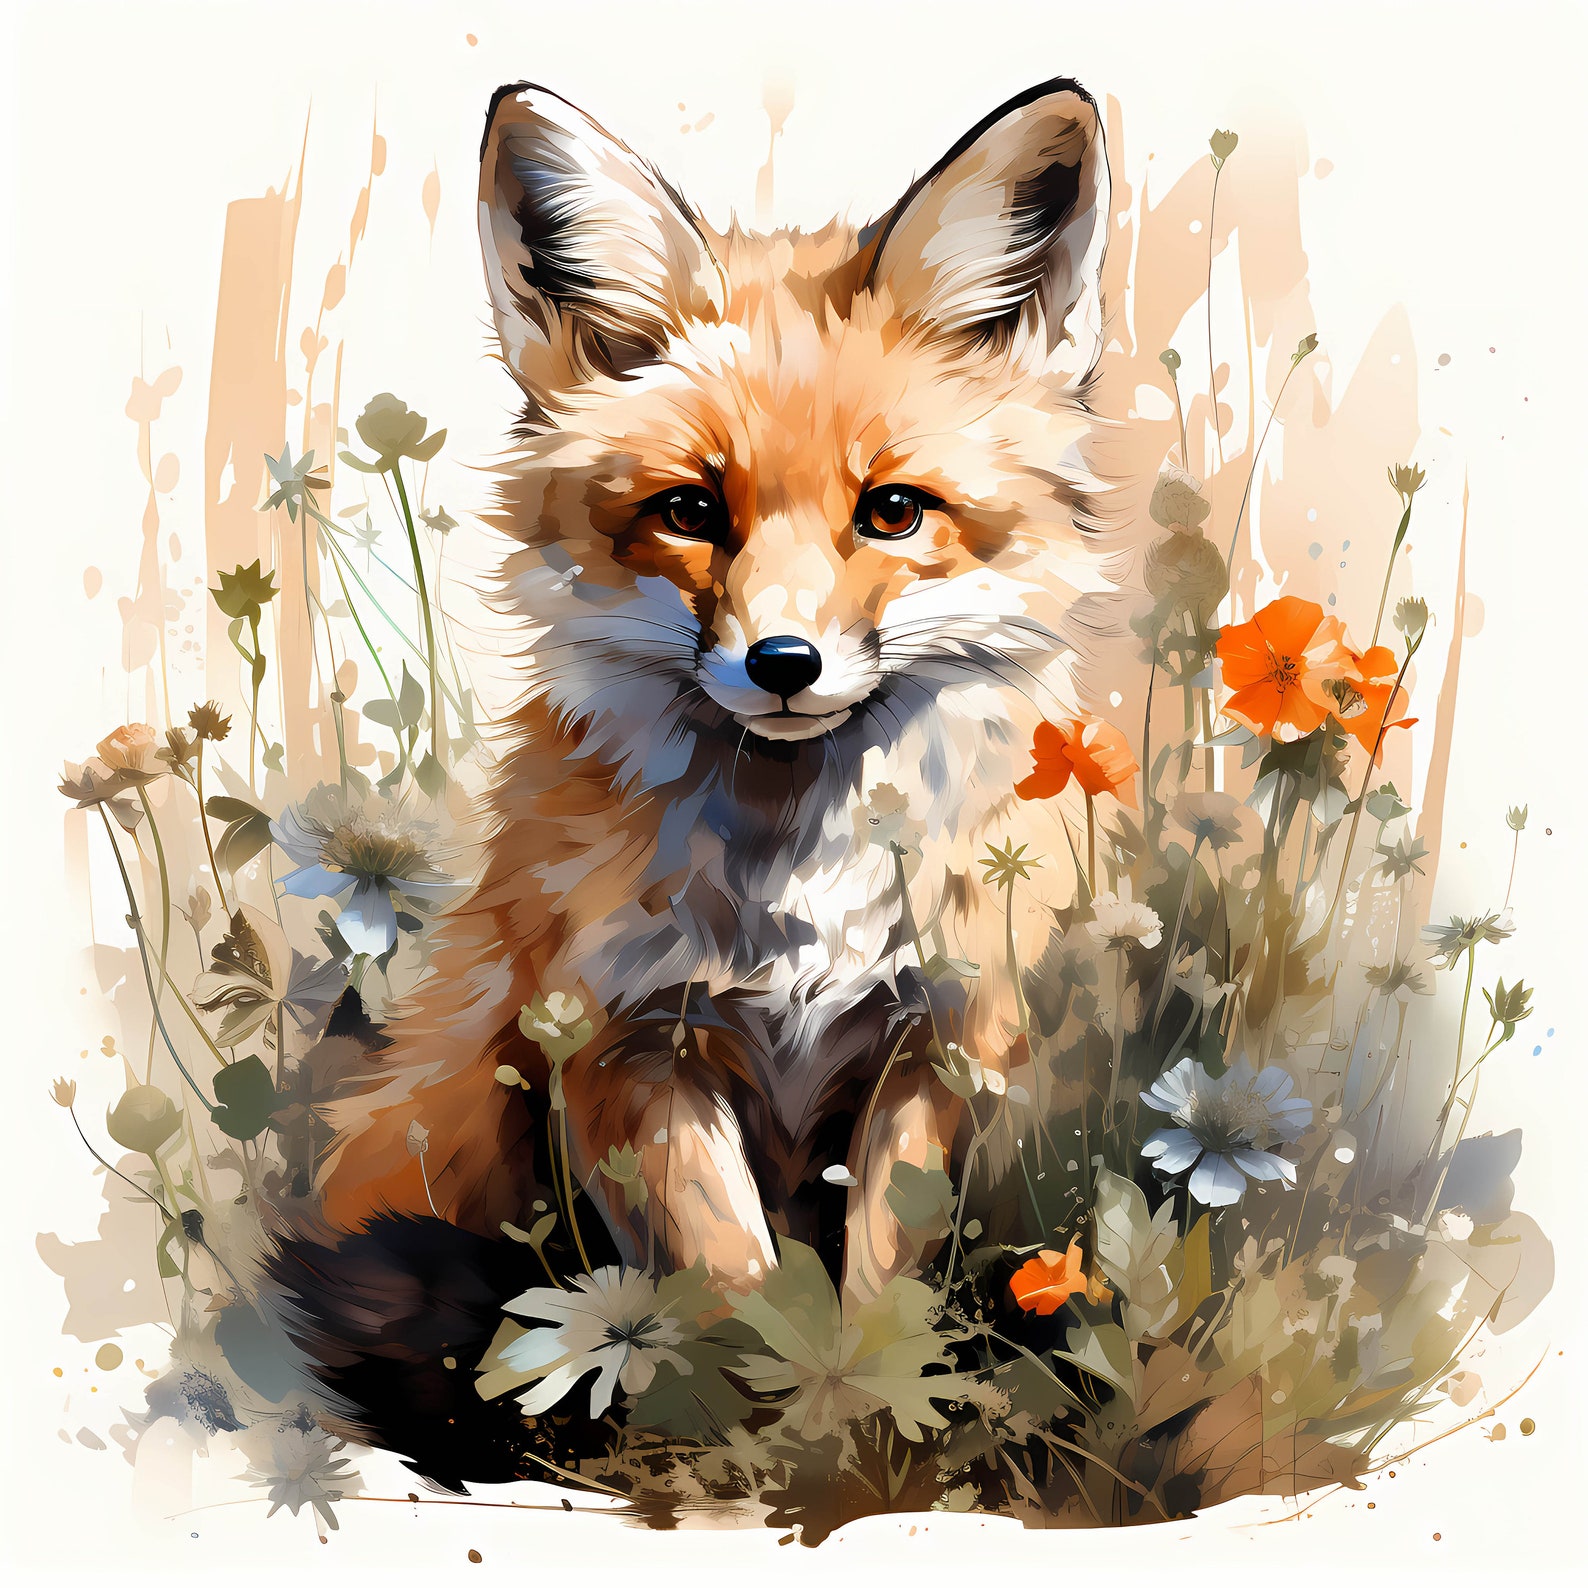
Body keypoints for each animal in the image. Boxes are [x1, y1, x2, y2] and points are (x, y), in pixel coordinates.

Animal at [304, 75, 1117, 1315]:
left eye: (891, 510)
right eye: (690, 510)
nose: (783, 663)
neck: (796, 882)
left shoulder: (937, 1044)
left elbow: (878, 1288)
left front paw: (858, 1371)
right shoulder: (629, 1046)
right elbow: (731, 1286)